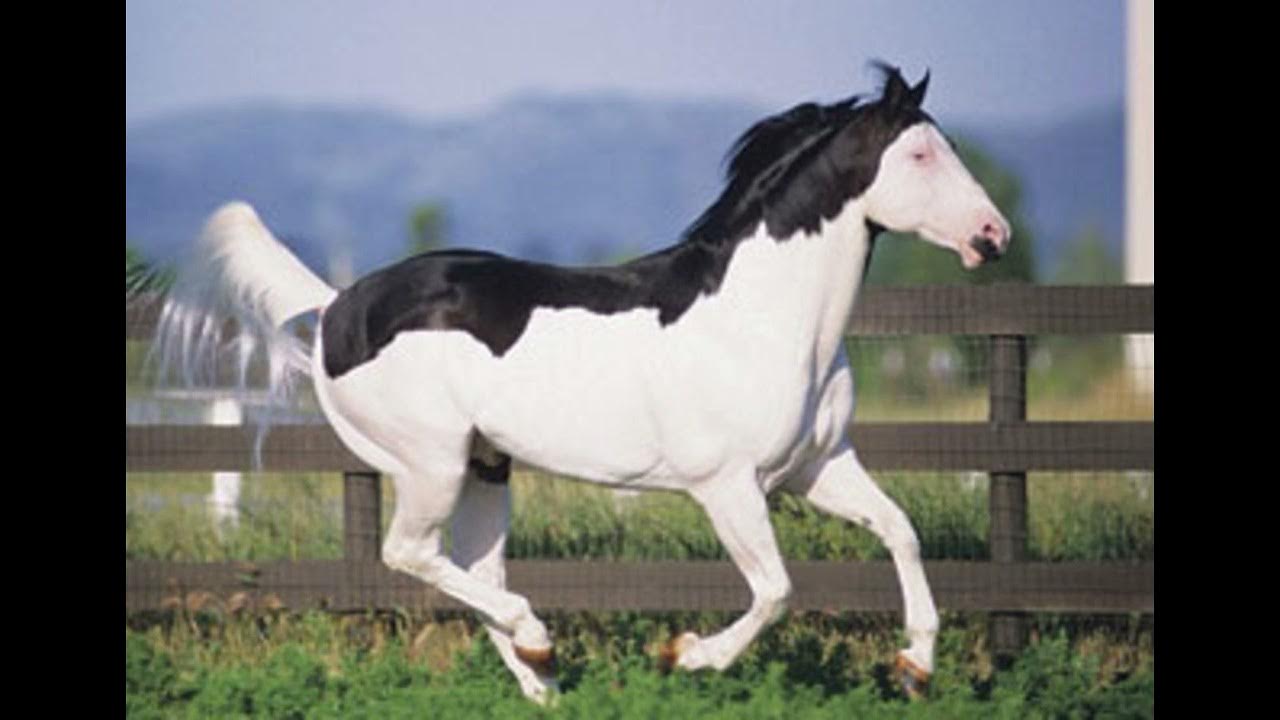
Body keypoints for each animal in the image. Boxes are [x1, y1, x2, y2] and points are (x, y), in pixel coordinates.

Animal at [154, 63, 1010, 703]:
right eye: (922, 157)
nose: (993, 236)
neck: (760, 319)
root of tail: (335, 309)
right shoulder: (728, 485)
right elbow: (775, 591)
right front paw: (684, 655)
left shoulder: (817, 468)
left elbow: (900, 530)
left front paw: (915, 666)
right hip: (430, 462)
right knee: (410, 554)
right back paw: (539, 641)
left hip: (484, 467)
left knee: (474, 571)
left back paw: (543, 675)